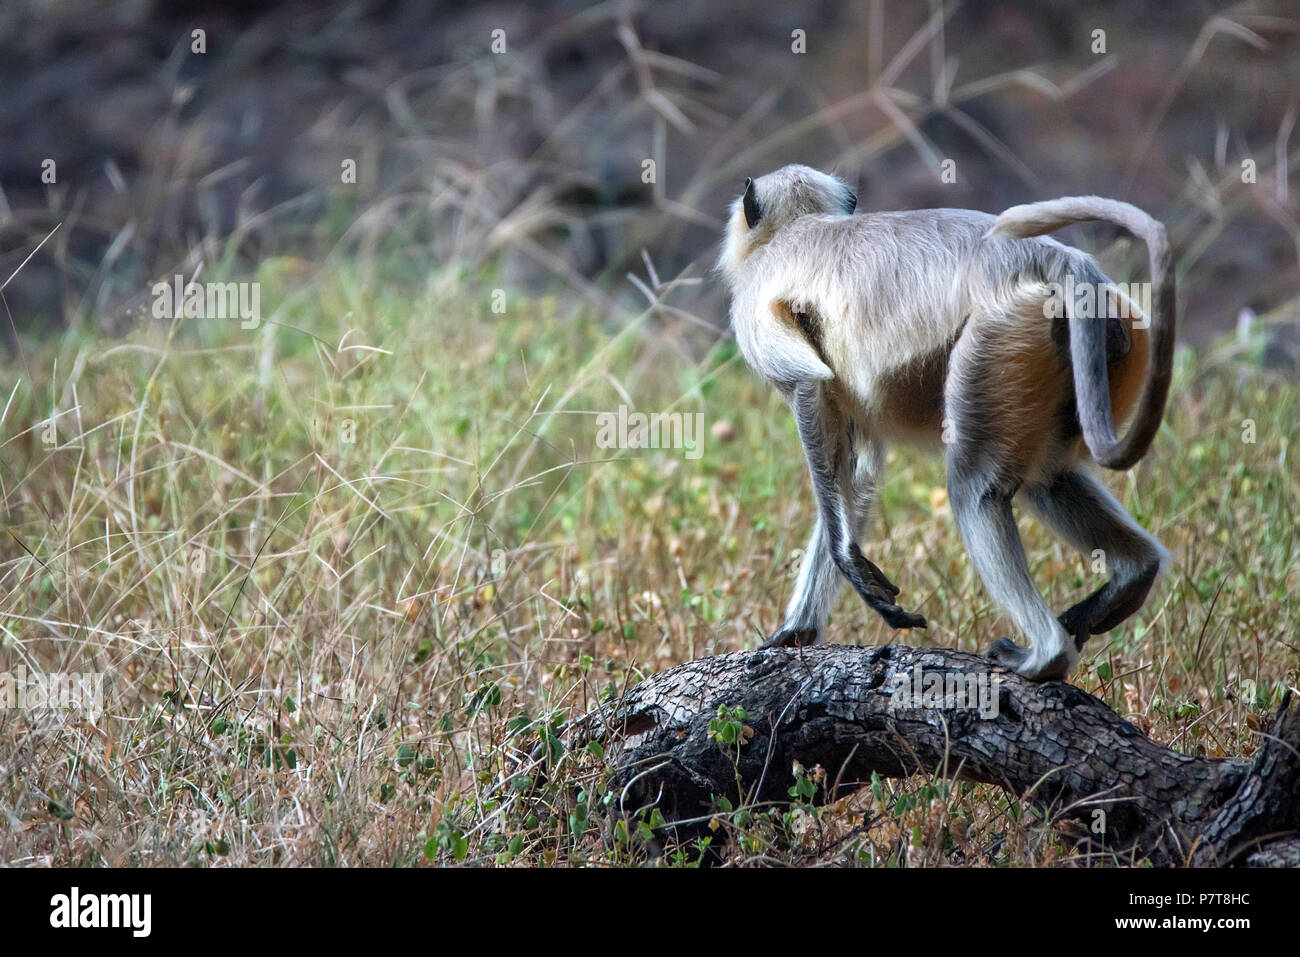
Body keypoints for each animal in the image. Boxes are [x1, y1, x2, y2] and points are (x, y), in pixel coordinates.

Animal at [718, 164, 1174, 681]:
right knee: (1048, 480)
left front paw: (845, 565)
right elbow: (856, 475)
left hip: (1001, 336)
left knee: (974, 488)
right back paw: (1133, 575)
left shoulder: (754, 303)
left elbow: (808, 385)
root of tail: (1063, 261)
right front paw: (797, 632)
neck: (800, 226)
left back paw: (1045, 657)